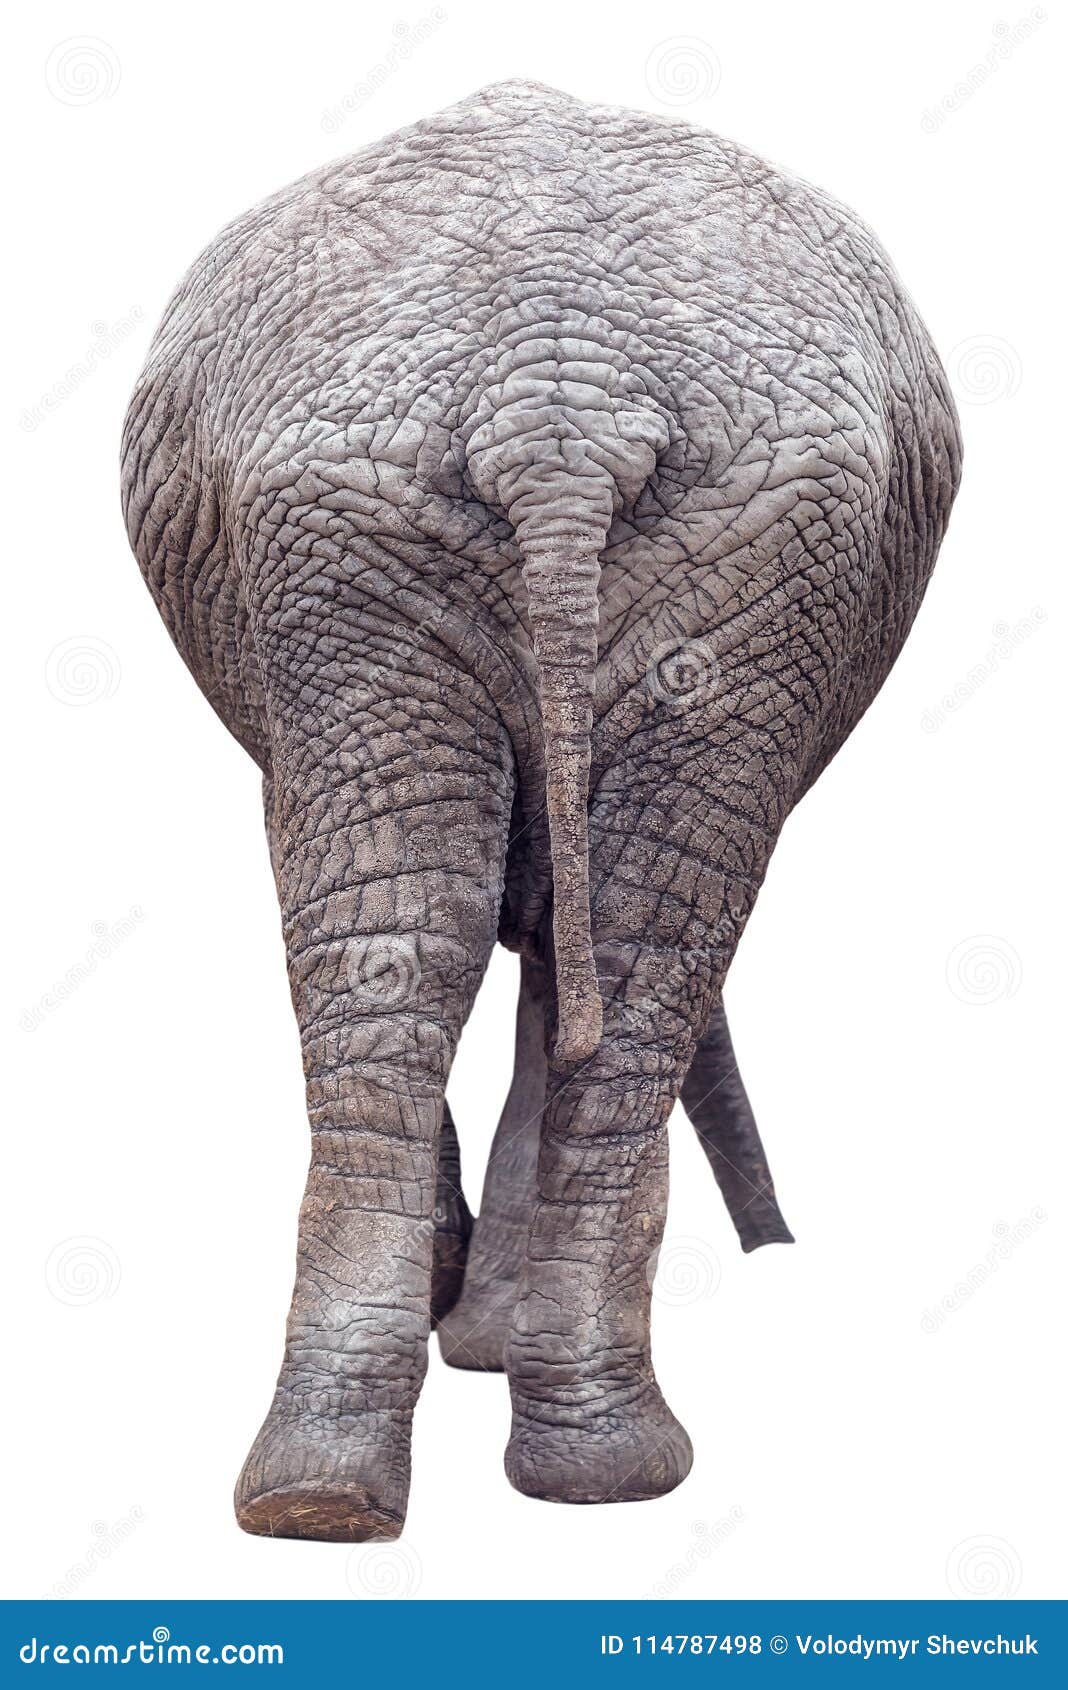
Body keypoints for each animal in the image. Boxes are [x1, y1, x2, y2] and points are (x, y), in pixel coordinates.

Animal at [120, 79, 961, 1542]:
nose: (781, 1244)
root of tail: (561, 400)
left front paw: (476, 1331)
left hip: (682, 535)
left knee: (478, 930)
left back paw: (439, 1477)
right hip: (388, 516)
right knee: (521, 931)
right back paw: (408, 1484)